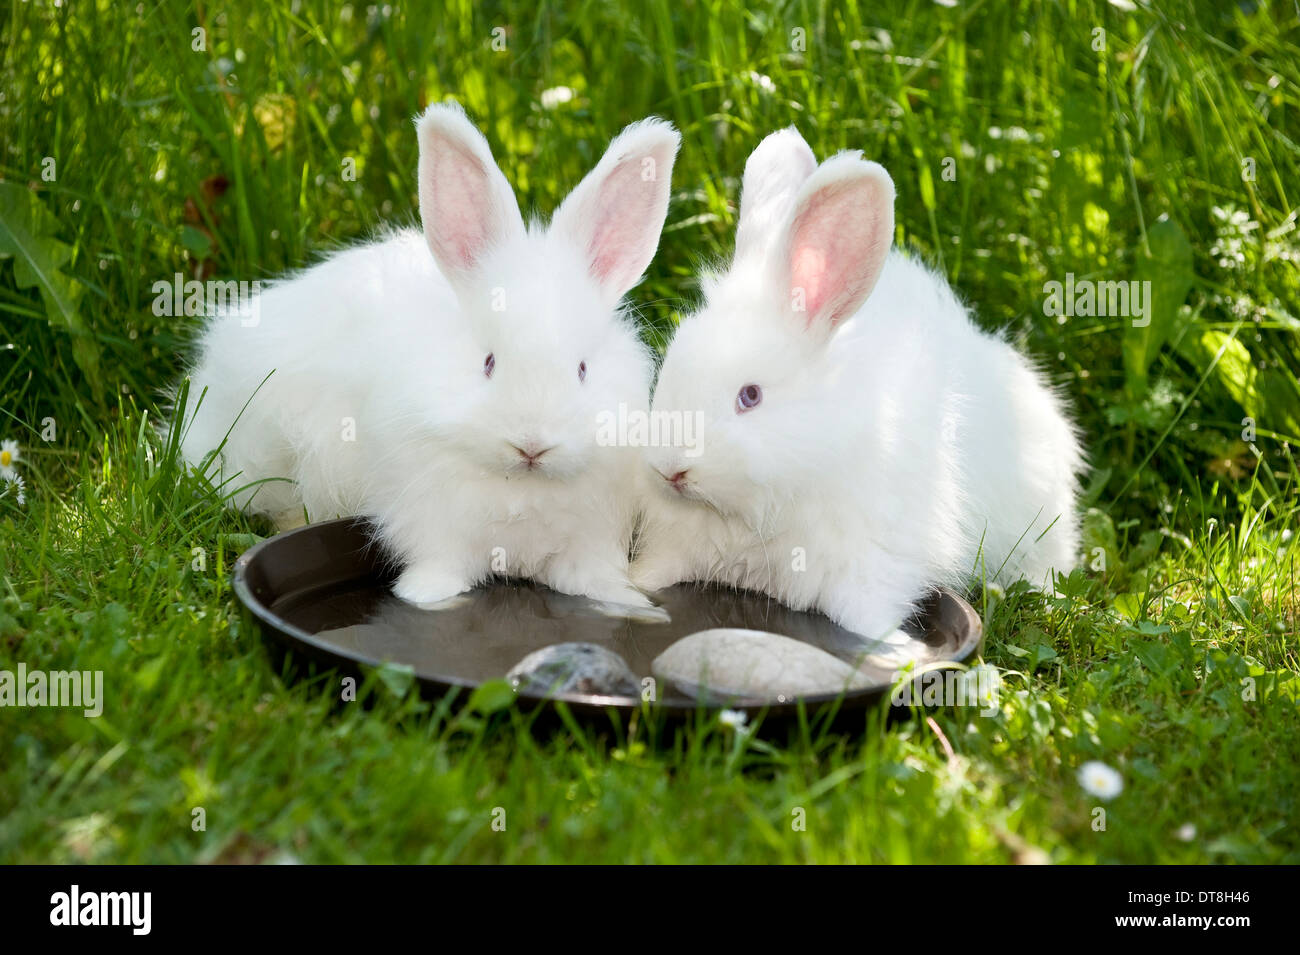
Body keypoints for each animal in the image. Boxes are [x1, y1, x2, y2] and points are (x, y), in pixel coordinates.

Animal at [175, 101, 680, 613]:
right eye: (488, 363)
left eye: (582, 369)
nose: (532, 445)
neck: (519, 483)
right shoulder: (434, 527)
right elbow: (441, 566)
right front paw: (426, 598)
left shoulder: (588, 539)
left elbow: (587, 576)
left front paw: (629, 602)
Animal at [630, 127, 1083, 641]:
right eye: (669, 368)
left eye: (751, 396)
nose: (669, 469)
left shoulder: (869, 570)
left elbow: (867, 622)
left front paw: (897, 648)